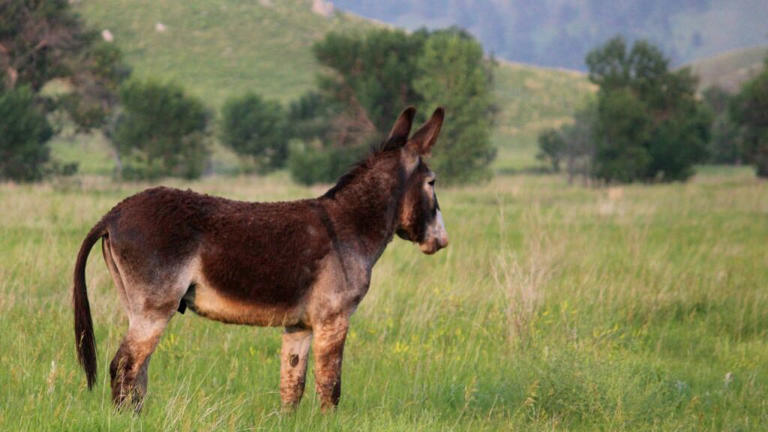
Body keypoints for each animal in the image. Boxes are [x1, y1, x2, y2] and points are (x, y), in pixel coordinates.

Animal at [73, 106, 449, 412]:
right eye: (432, 182)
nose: (442, 241)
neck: (350, 227)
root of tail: (114, 213)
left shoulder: (299, 325)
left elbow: (292, 386)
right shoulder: (334, 318)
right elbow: (330, 387)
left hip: (137, 307)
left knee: (138, 372)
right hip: (154, 308)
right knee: (125, 366)